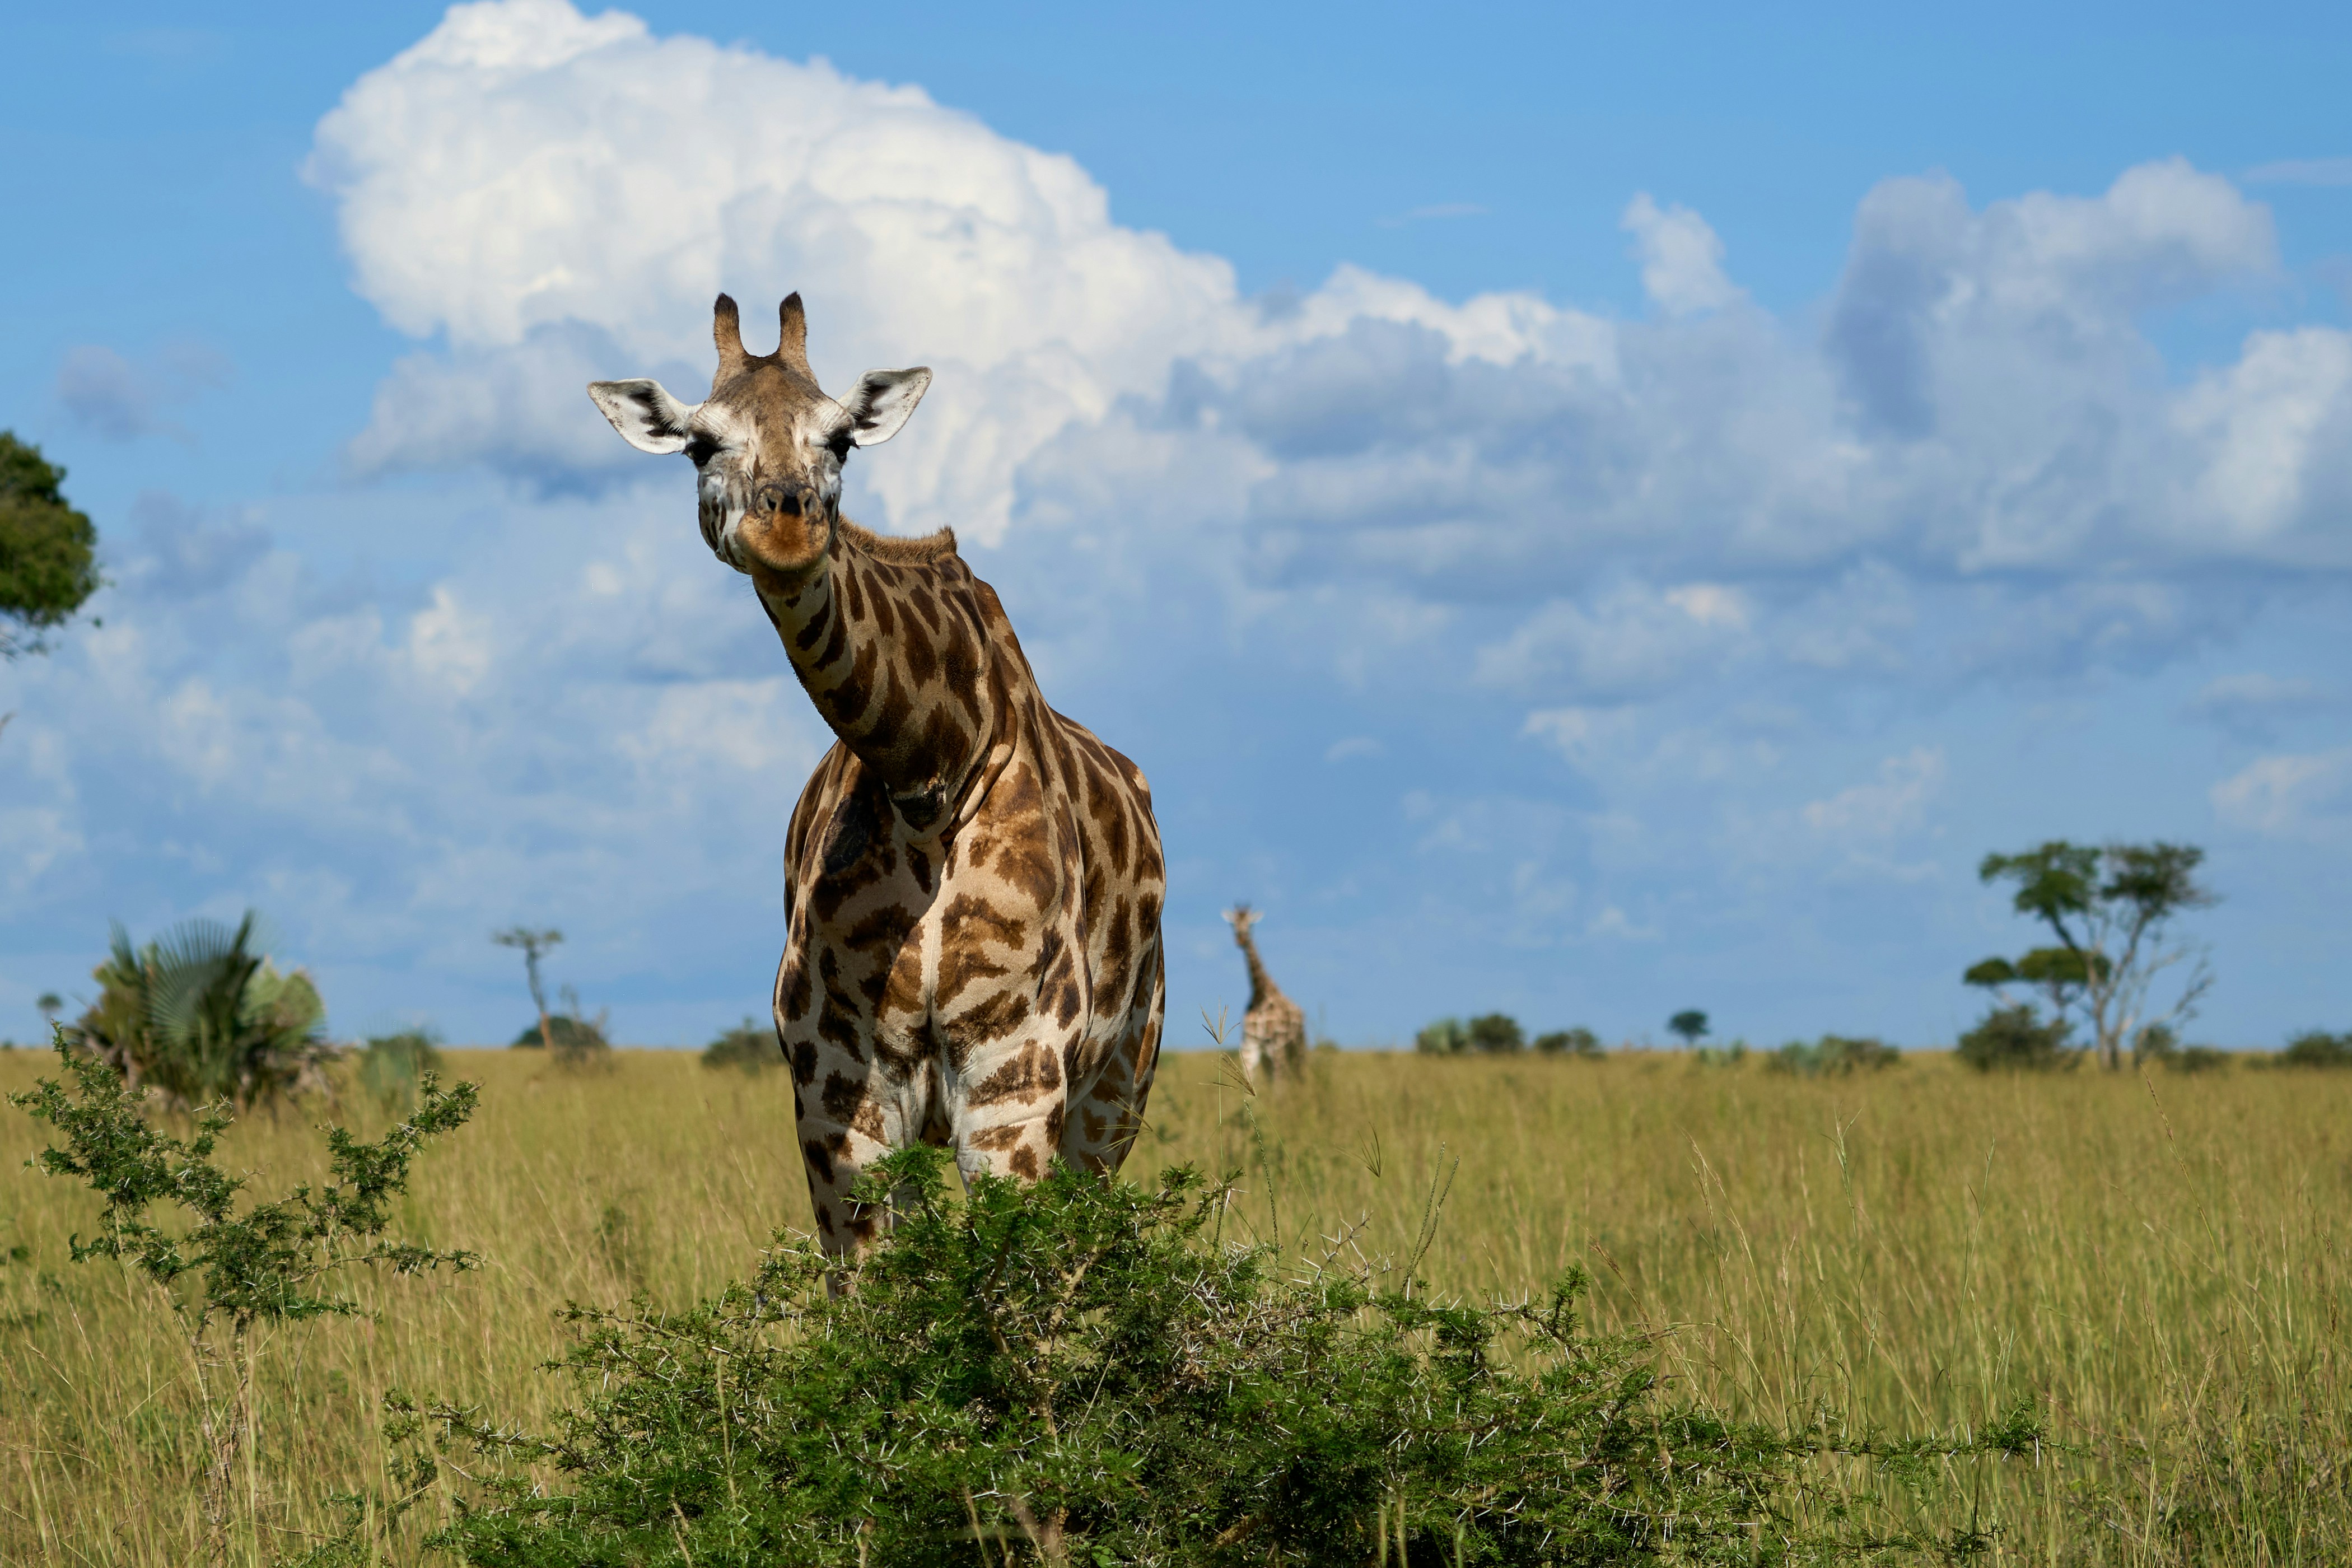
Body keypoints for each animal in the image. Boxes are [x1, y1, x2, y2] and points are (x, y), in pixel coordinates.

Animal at [587, 293, 1166, 1254]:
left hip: (1120, 1085)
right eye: (702, 444)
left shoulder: (1015, 1077)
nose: (786, 526)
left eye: (843, 439)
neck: (930, 773)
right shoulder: (835, 1086)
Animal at [1222, 904, 1307, 1085]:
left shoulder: (1277, 1048)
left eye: (1251, 925)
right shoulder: (1250, 1046)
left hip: (1297, 1046)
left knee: (1299, 1073)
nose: (1241, 939)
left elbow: (1279, 1086)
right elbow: (1250, 1082)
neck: (1260, 995)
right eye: (1233, 924)